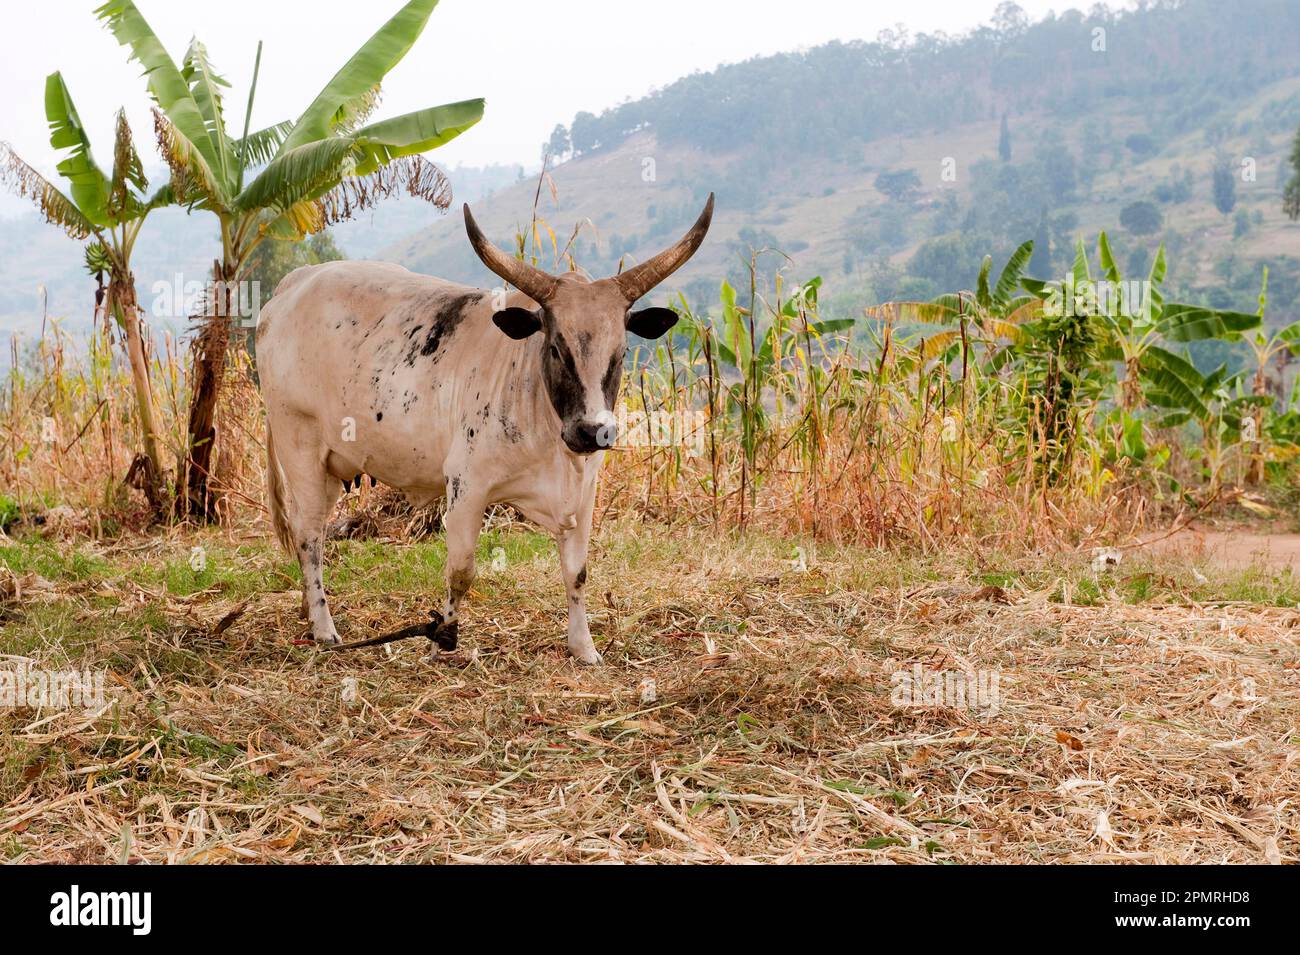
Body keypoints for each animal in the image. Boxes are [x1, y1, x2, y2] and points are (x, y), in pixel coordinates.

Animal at [256, 194, 714, 664]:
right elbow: (461, 571)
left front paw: (583, 647)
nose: (593, 431)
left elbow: (577, 573)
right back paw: (323, 628)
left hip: (332, 464)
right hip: (300, 448)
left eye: (621, 352)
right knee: (308, 537)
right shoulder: (466, 486)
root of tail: (293, 285)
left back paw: (307, 612)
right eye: (556, 348)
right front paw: (444, 639)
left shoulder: (583, 495)